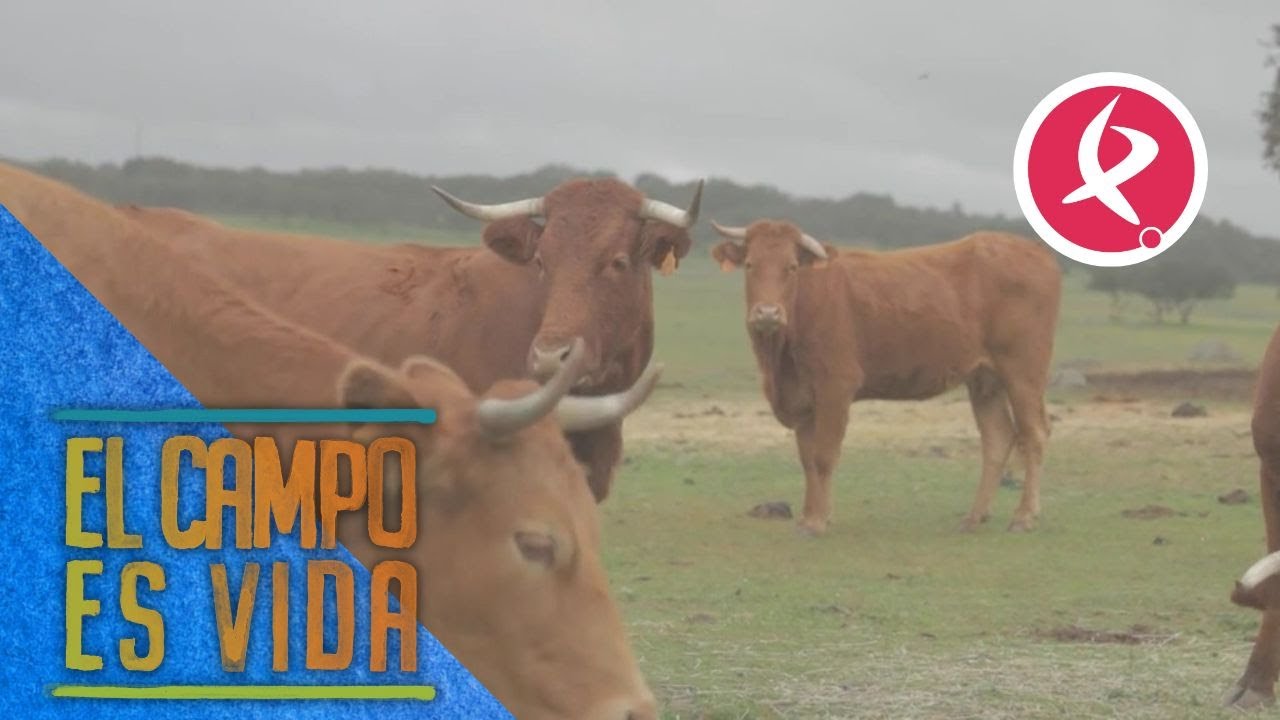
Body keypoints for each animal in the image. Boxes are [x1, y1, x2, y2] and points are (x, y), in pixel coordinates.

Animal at [711, 220, 1061, 535]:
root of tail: (1032, 250)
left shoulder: (835, 388)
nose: (767, 313)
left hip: (1022, 372)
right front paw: (811, 515)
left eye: (792, 267)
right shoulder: (804, 400)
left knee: (1034, 435)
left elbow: (823, 457)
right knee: (998, 438)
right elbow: (808, 460)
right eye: (750, 265)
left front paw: (817, 521)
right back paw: (974, 517)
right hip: (984, 380)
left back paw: (1024, 517)